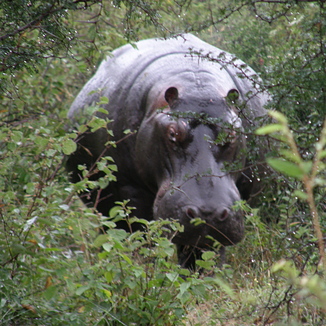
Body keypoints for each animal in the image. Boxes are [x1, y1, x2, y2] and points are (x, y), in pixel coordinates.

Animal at [66, 33, 268, 268]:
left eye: (231, 134)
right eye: (172, 133)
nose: (207, 213)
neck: (198, 87)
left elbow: (206, 255)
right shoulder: (128, 189)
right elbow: (138, 236)